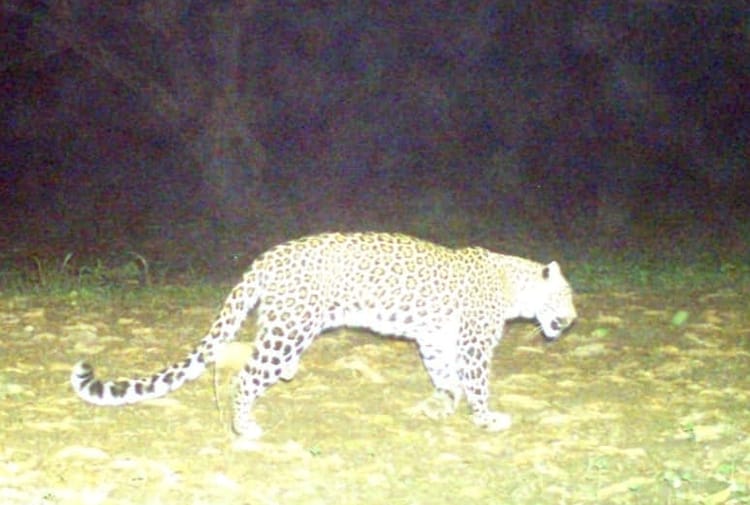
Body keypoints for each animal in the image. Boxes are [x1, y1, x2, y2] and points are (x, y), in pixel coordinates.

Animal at [71, 232, 577, 439]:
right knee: (247, 375)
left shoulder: (435, 337)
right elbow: (476, 381)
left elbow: (443, 372)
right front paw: (486, 417)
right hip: (290, 328)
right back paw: (245, 426)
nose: (571, 321)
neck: (515, 285)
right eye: (566, 297)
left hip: (281, 322)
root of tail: (269, 257)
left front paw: (444, 401)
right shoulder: (473, 342)